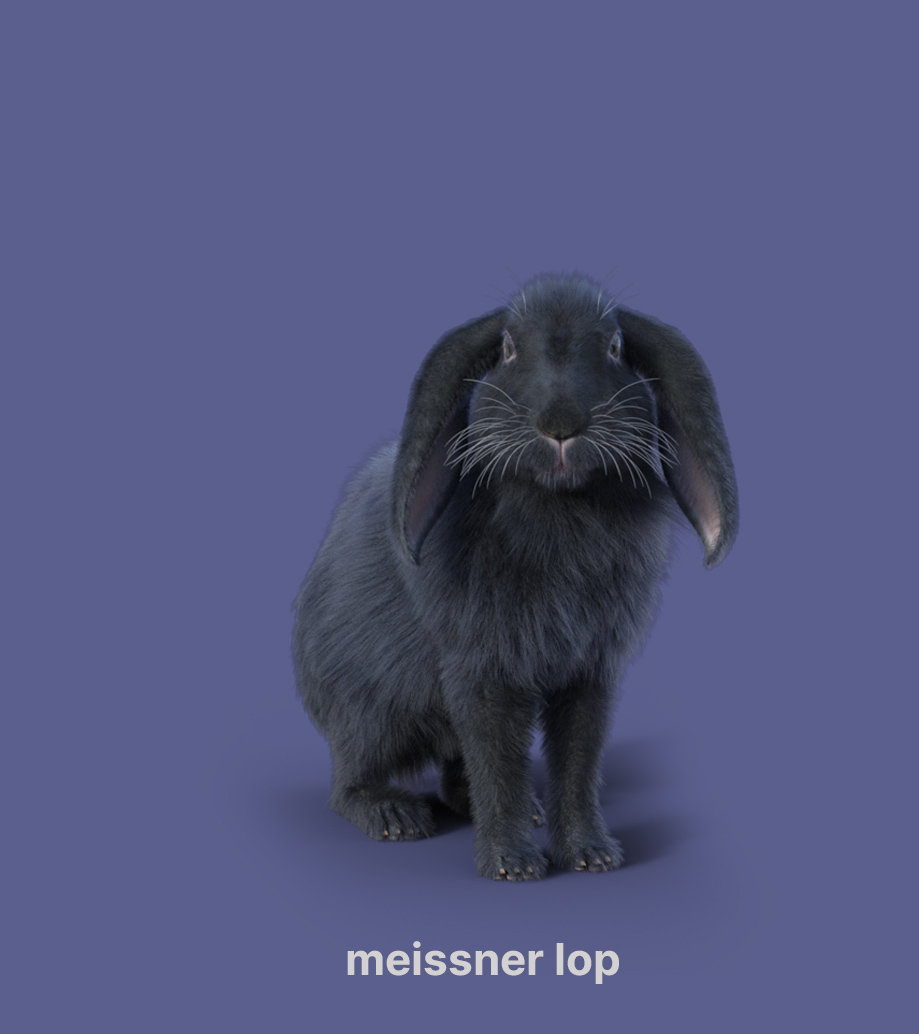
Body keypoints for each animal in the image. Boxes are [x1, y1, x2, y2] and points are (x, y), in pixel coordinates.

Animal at [291, 272, 738, 881]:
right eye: (506, 347)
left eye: (615, 346)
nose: (561, 427)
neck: (561, 510)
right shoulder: (481, 670)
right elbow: (497, 758)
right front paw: (512, 866)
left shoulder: (591, 671)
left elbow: (579, 759)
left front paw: (592, 855)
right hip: (368, 712)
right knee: (350, 779)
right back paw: (395, 817)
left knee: (454, 773)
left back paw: (526, 809)